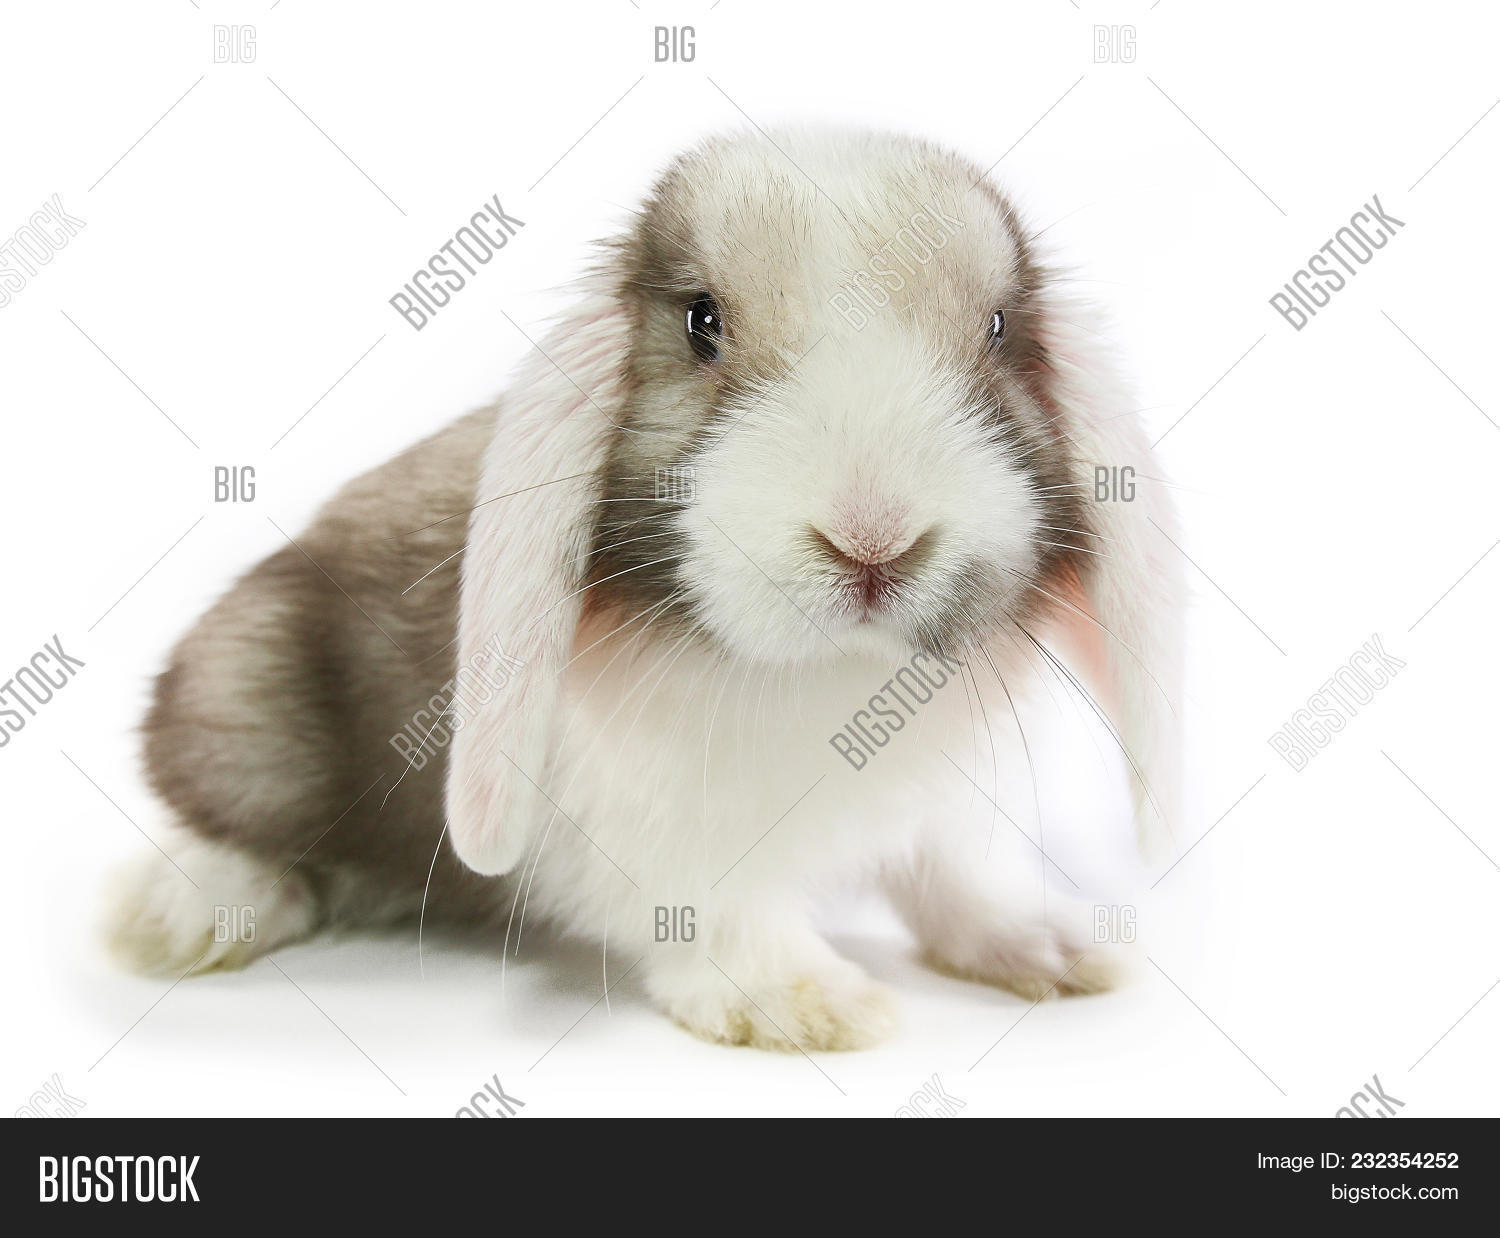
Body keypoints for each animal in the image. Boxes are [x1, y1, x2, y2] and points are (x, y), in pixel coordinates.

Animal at [105, 127, 1182, 1051]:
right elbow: (710, 910)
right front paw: (809, 1004)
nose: (872, 538)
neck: (827, 674)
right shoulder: (645, 825)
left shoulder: (943, 808)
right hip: (242, 698)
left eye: (999, 329)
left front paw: (1054, 949)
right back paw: (182, 916)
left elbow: (958, 878)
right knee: (228, 822)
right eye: (702, 322)